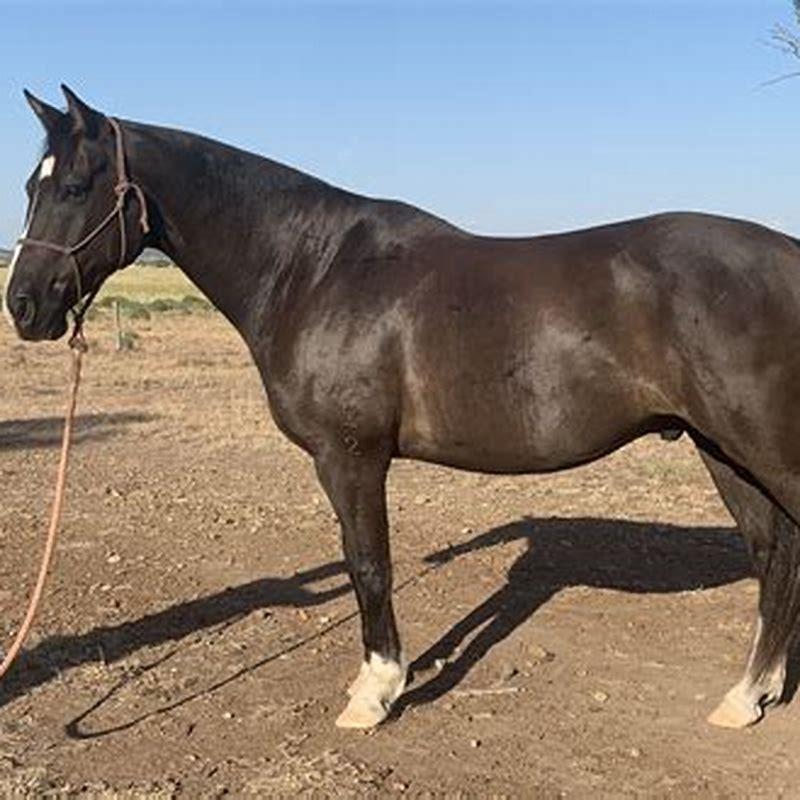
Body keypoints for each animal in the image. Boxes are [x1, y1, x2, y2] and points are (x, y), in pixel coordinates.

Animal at [6, 85, 800, 731]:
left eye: (74, 185)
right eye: (30, 186)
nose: (24, 306)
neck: (312, 269)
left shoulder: (351, 457)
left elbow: (368, 565)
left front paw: (375, 693)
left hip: (759, 448)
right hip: (720, 449)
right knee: (774, 554)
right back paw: (748, 695)